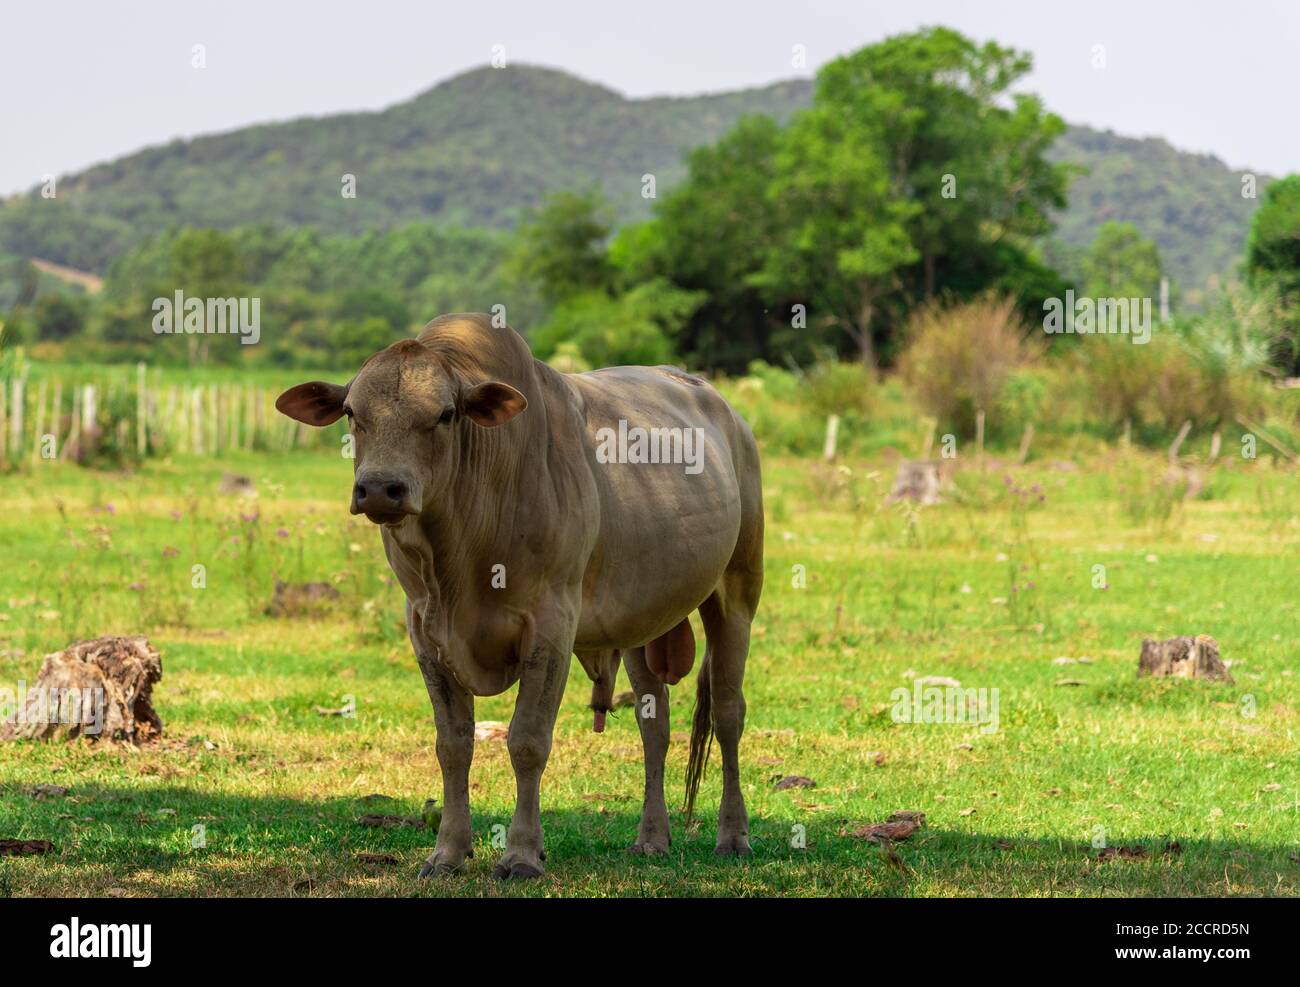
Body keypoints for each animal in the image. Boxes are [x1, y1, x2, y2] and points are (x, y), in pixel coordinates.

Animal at [275, 313, 763, 879]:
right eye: (353, 413)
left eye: (445, 414)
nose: (379, 488)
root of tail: (726, 411)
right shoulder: (424, 629)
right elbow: (453, 745)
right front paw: (447, 852)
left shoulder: (551, 625)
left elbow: (527, 741)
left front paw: (523, 853)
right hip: (643, 623)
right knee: (655, 724)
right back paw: (651, 838)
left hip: (738, 591)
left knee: (728, 712)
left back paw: (733, 836)